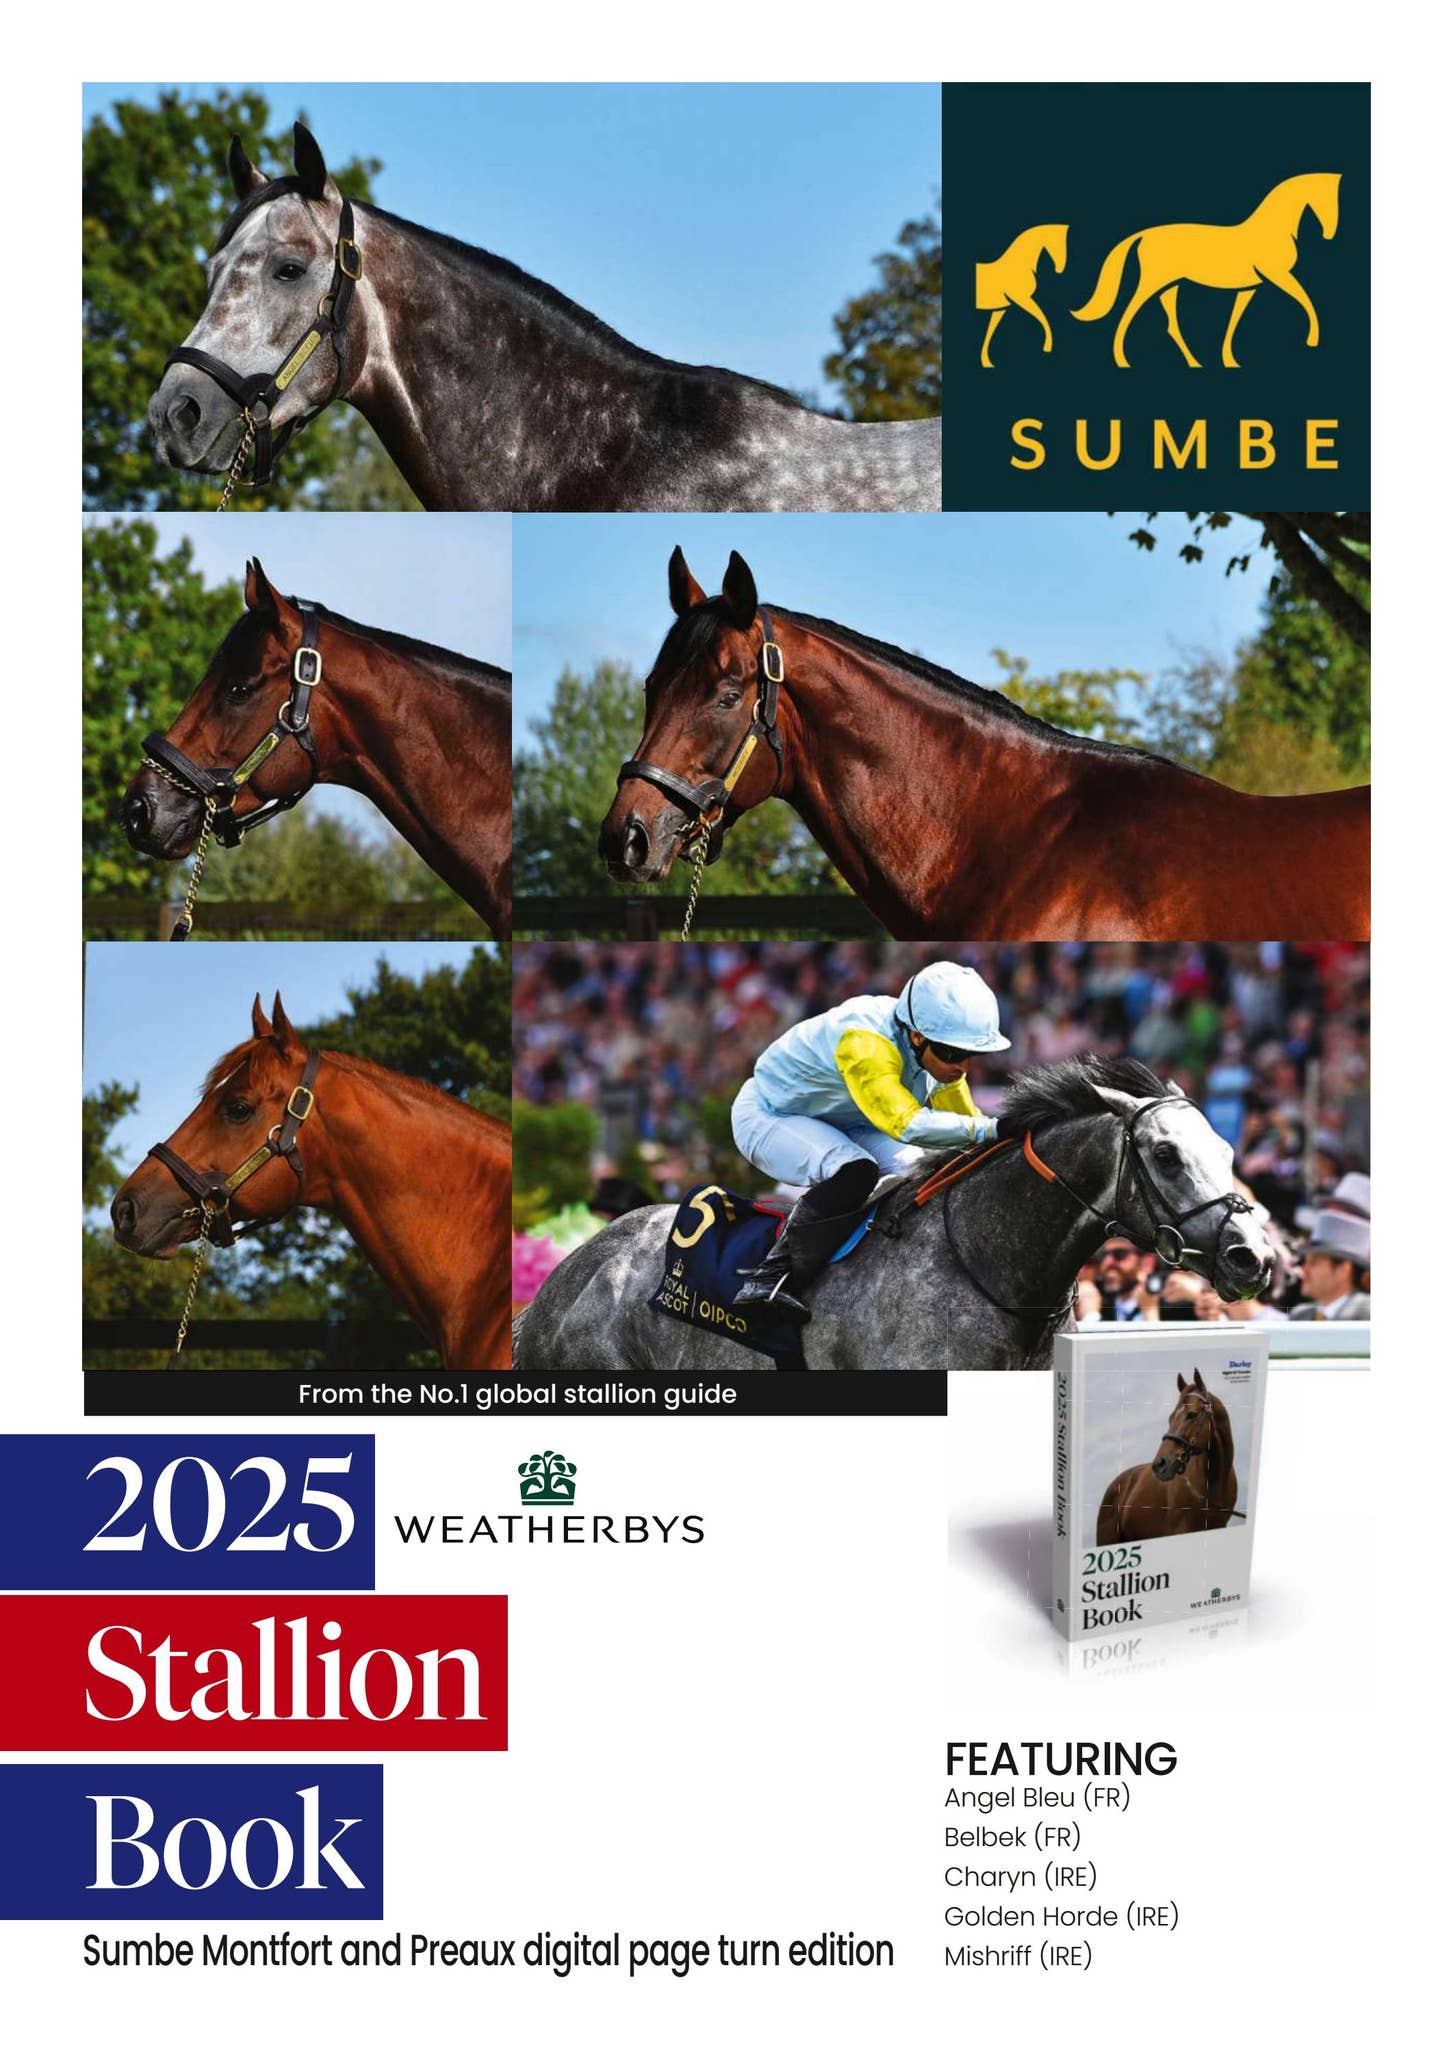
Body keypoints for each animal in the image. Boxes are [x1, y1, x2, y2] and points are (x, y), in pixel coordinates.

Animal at [975, 224, 1069, 367]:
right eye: (1058, 242)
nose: (1060, 269)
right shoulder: (1021, 299)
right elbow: (1042, 316)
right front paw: (1047, 345)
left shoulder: (1001, 308)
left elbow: (989, 331)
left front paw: (986, 361)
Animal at [1071, 172, 1341, 369]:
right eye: (1329, 198)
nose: (1330, 234)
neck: (1270, 230)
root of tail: (1144, 234)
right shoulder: (1278, 276)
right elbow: (1305, 298)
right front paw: (1312, 339)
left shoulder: (1250, 287)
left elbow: (1234, 319)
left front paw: (1229, 360)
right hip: (1151, 284)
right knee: (1128, 313)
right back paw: (1122, 360)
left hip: (1170, 287)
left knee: (1171, 325)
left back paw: (1194, 362)